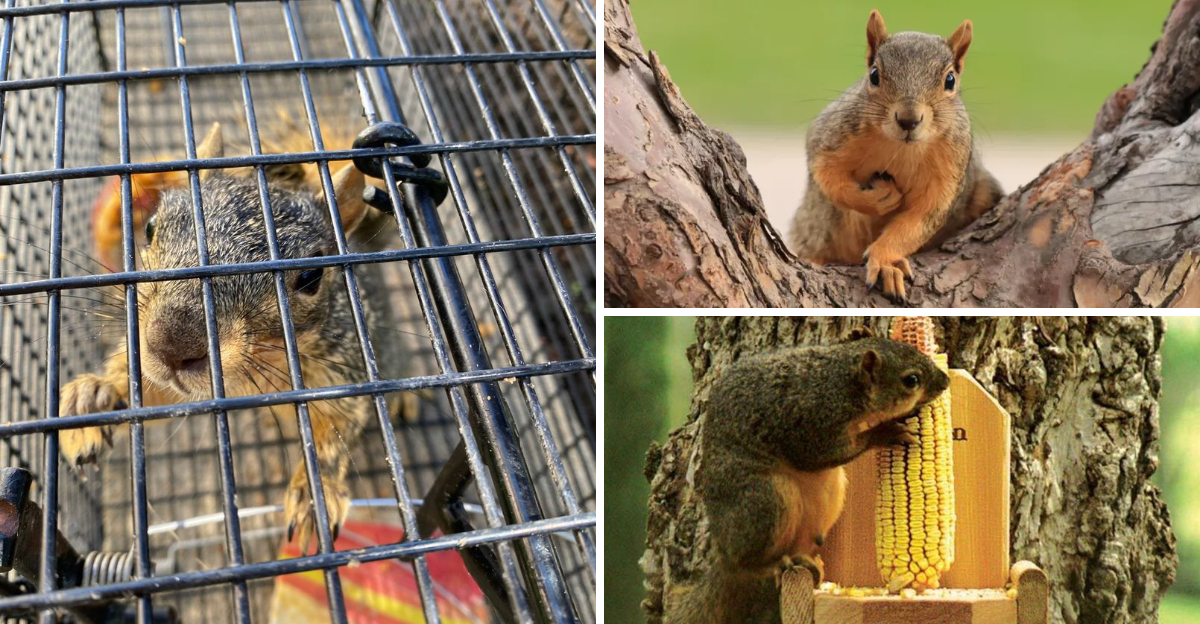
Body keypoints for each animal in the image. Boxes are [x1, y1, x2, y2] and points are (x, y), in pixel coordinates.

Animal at [60, 118, 407, 551]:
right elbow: (151, 390)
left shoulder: (343, 372)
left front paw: (316, 492)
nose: (171, 346)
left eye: (311, 278)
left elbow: (334, 434)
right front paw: (95, 396)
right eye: (152, 228)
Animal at [664, 334, 949, 624]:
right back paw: (773, 563)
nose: (946, 381)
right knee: (747, 561)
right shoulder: (810, 425)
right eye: (911, 380)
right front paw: (884, 432)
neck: (840, 383)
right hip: (767, 499)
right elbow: (821, 454)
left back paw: (808, 562)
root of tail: (723, 552)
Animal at [787, 10, 1004, 301]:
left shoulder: (950, 170)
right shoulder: (831, 136)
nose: (908, 120)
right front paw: (877, 198)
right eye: (874, 75)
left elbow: (920, 219)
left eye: (950, 81)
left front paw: (885, 261)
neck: (901, 149)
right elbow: (827, 177)